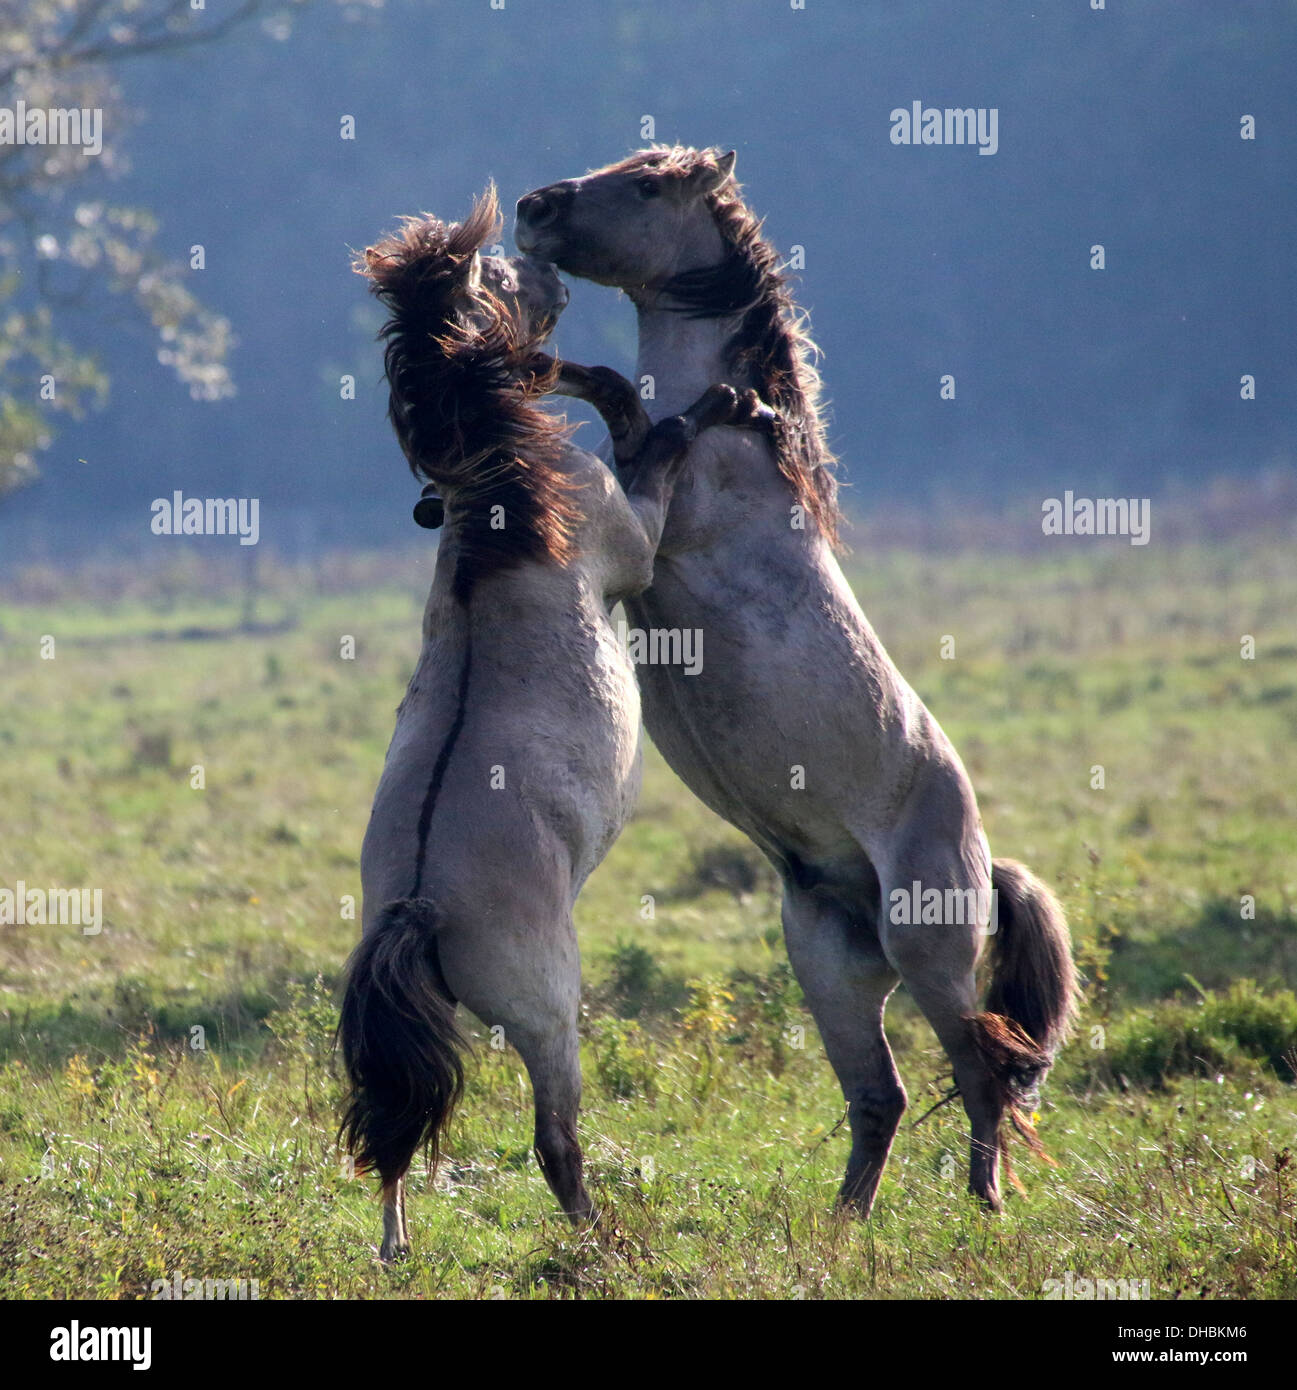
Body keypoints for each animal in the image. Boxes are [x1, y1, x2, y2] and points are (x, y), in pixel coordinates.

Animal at [339, 186, 741, 1260]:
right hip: (549, 1014)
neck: (499, 512)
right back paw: (601, 1239)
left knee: (391, 1134)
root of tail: (420, 906)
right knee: (553, 1140)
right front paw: (712, 405)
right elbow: (655, 448)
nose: (546, 264)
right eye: (495, 276)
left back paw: (395, 1245)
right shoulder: (632, 540)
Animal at [516, 146, 1079, 1216]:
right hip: (829, 964)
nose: (532, 206)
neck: (743, 447)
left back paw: (984, 1209)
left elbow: (628, 410)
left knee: (981, 1070)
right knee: (882, 1096)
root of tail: (989, 865)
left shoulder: (656, 520)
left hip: (928, 957)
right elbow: (610, 389)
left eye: (646, 183)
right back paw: (842, 1226)